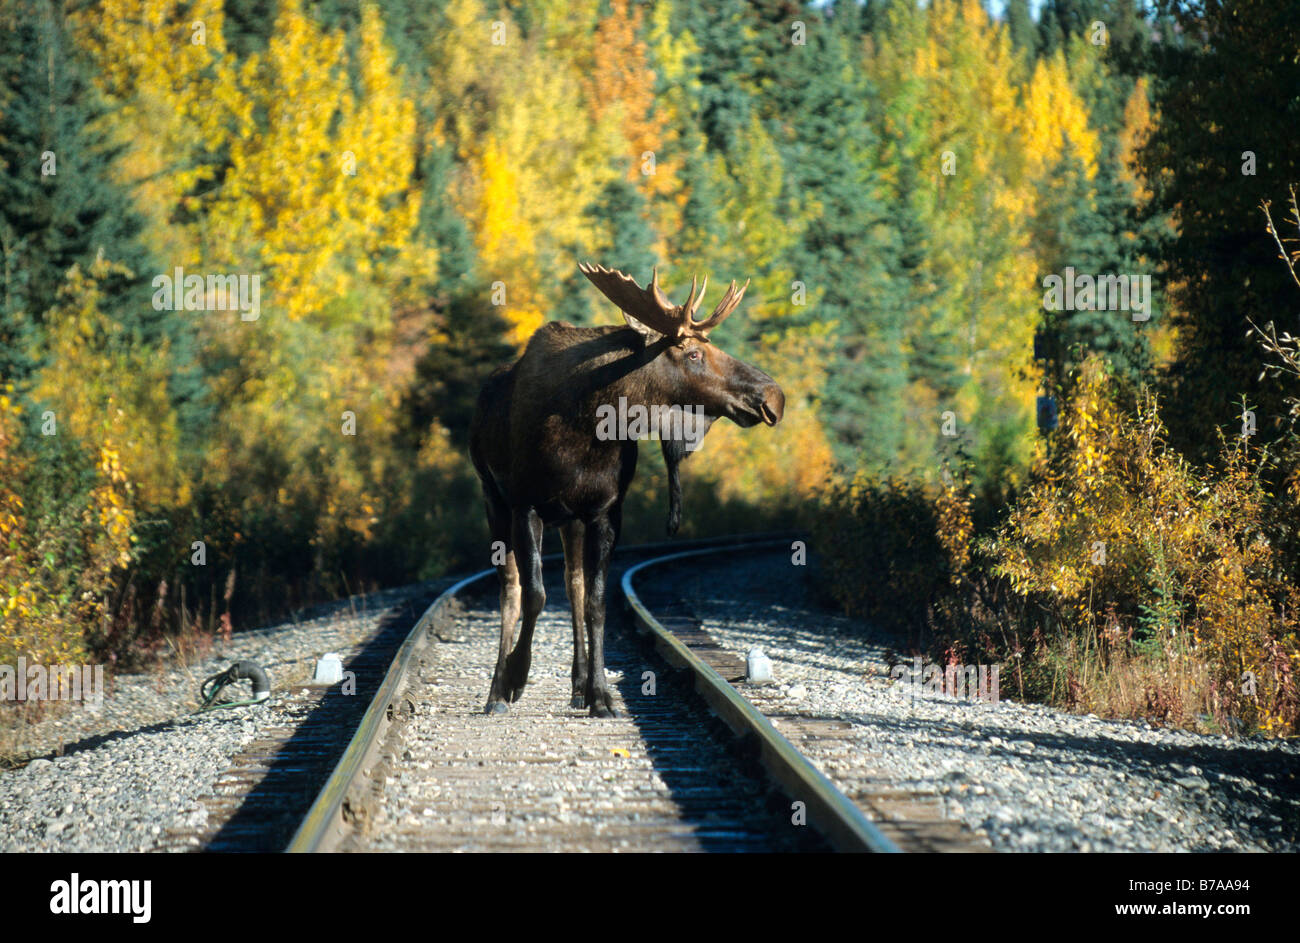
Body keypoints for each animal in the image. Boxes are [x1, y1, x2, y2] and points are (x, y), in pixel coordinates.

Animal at [468, 263, 785, 717]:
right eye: (693, 353)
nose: (773, 395)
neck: (586, 430)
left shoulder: (605, 510)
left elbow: (595, 601)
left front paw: (601, 695)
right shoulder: (526, 503)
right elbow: (535, 595)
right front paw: (515, 677)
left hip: (569, 519)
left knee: (574, 584)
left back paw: (578, 686)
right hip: (493, 497)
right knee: (510, 588)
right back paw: (496, 693)